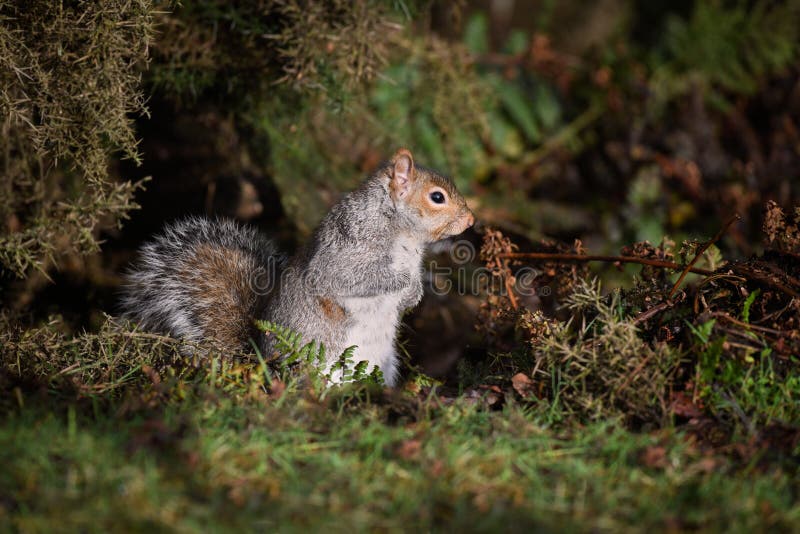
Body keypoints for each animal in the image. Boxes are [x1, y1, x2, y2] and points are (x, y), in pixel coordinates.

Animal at [120, 148, 475, 386]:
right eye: (437, 197)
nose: (471, 220)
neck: (404, 233)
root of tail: (259, 363)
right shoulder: (347, 249)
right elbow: (350, 278)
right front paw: (402, 281)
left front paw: (414, 294)